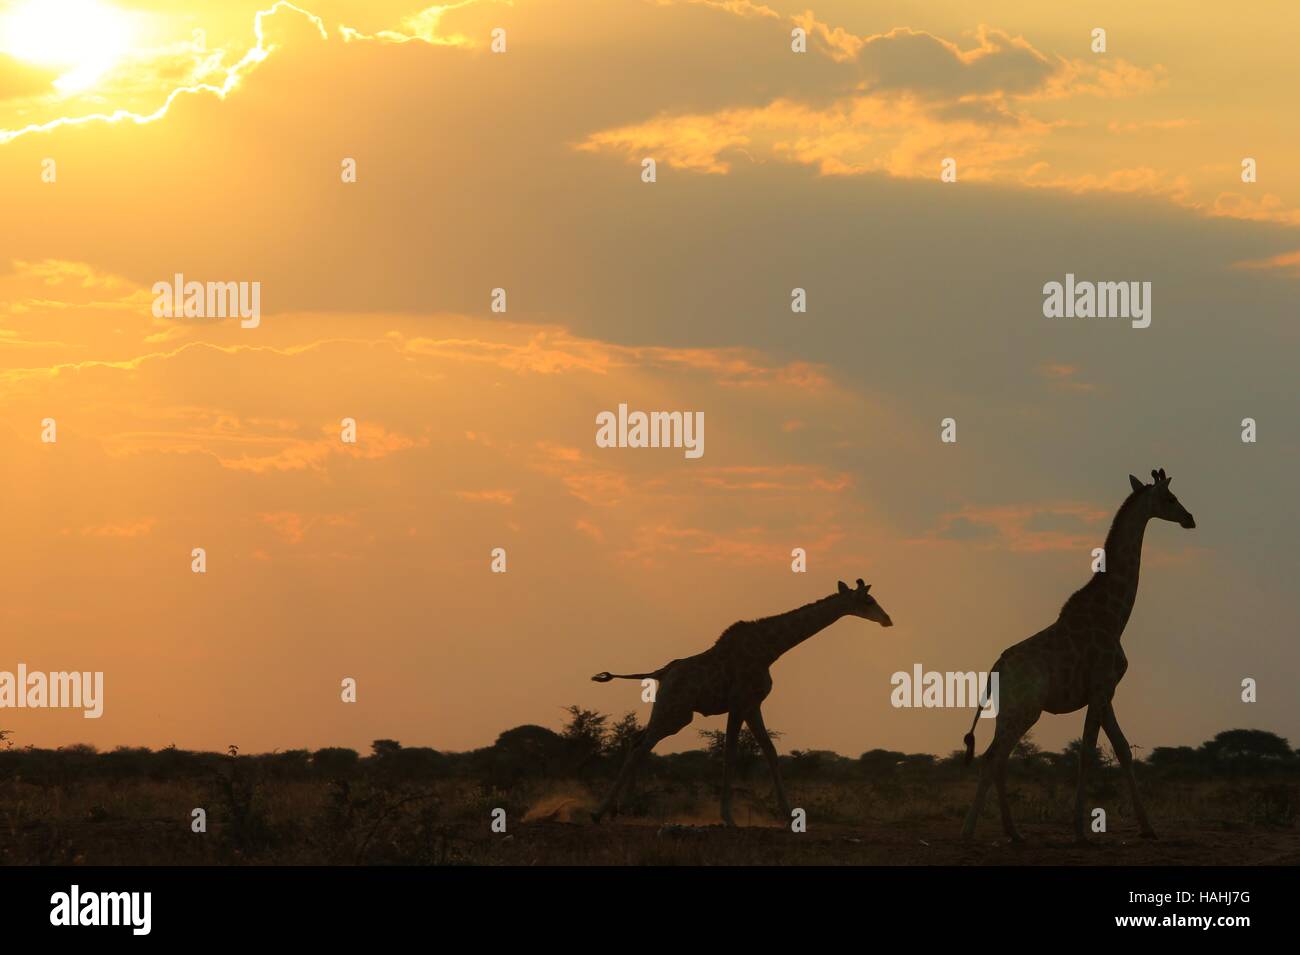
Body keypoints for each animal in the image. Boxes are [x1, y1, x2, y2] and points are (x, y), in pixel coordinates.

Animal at [589, 579, 894, 826]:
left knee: (637, 743)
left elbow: (769, 751)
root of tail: (662, 673)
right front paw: (728, 817)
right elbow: (731, 754)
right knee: (640, 747)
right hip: (675, 712)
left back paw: (620, 809)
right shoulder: (738, 703)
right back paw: (599, 812)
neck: (770, 650)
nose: (887, 620)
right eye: (868, 600)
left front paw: (788, 814)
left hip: (669, 712)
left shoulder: (752, 705)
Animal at [960, 469, 1196, 843]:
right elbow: (1087, 753)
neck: (1115, 616)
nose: (1190, 518)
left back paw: (1014, 832)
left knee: (998, 758)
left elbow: (1123, 749)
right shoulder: (1099, 688)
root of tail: (995, 670)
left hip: (1008, 711)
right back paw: (969, 831)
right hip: (1025, 710)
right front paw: (1080, 830)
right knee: (992, 757)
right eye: (1170, 498)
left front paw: (1148, 828)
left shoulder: (1106, 691)